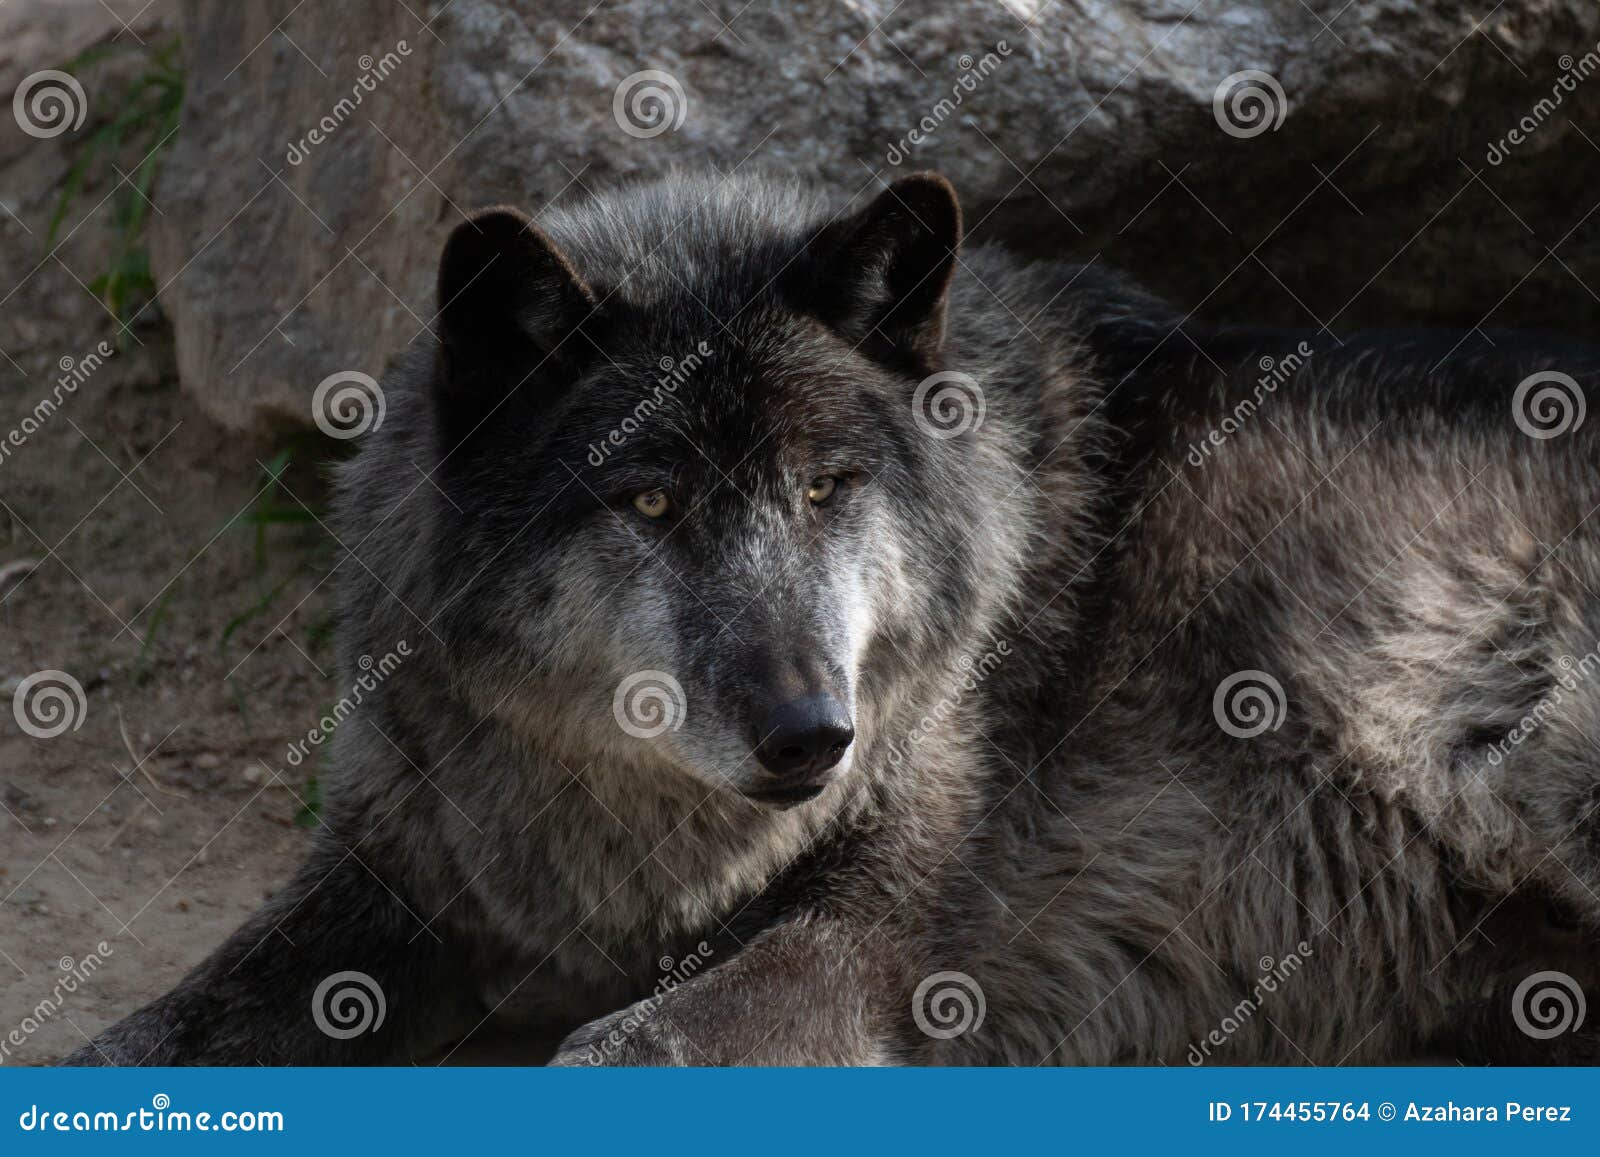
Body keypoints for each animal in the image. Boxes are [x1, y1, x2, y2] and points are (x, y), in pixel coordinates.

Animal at [70, 169, 1600, 1066]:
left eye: (826, 484)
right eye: (649, 500)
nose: (815, 735)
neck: (636, 847)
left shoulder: (874, 952)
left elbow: (617, 1051)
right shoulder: (389, 884)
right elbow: (152, 1036)